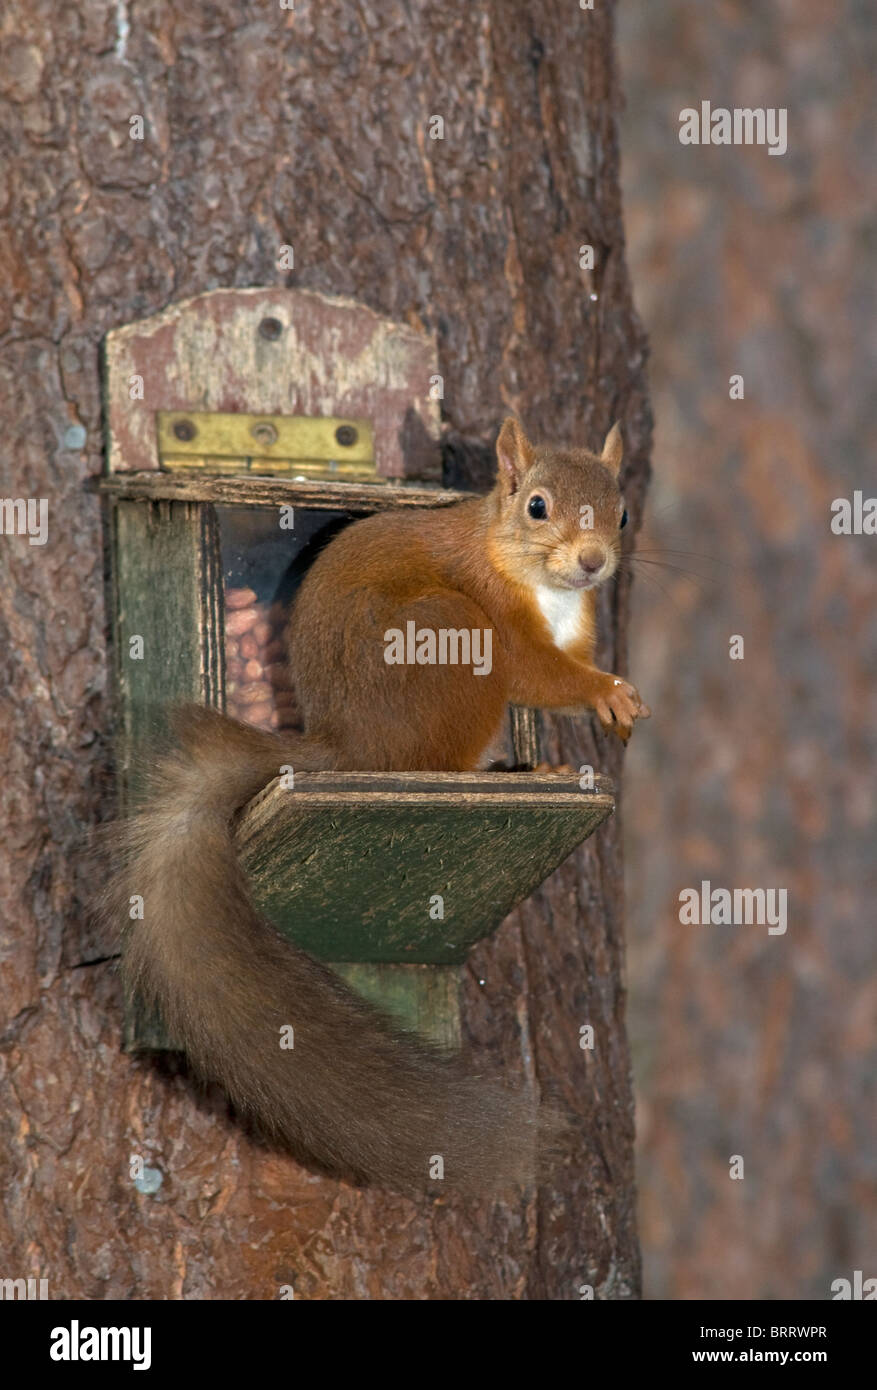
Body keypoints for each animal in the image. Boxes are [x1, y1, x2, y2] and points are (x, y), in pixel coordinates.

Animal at [104, 417, 648, 1196]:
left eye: (623, 513)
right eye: (537, 506)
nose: (594, 561)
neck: (538, 580)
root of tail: (349, 749)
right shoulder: (499, 615)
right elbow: (537, 674)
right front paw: (605, 691)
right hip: (452, 637)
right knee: (443, 750)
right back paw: (510, 768)